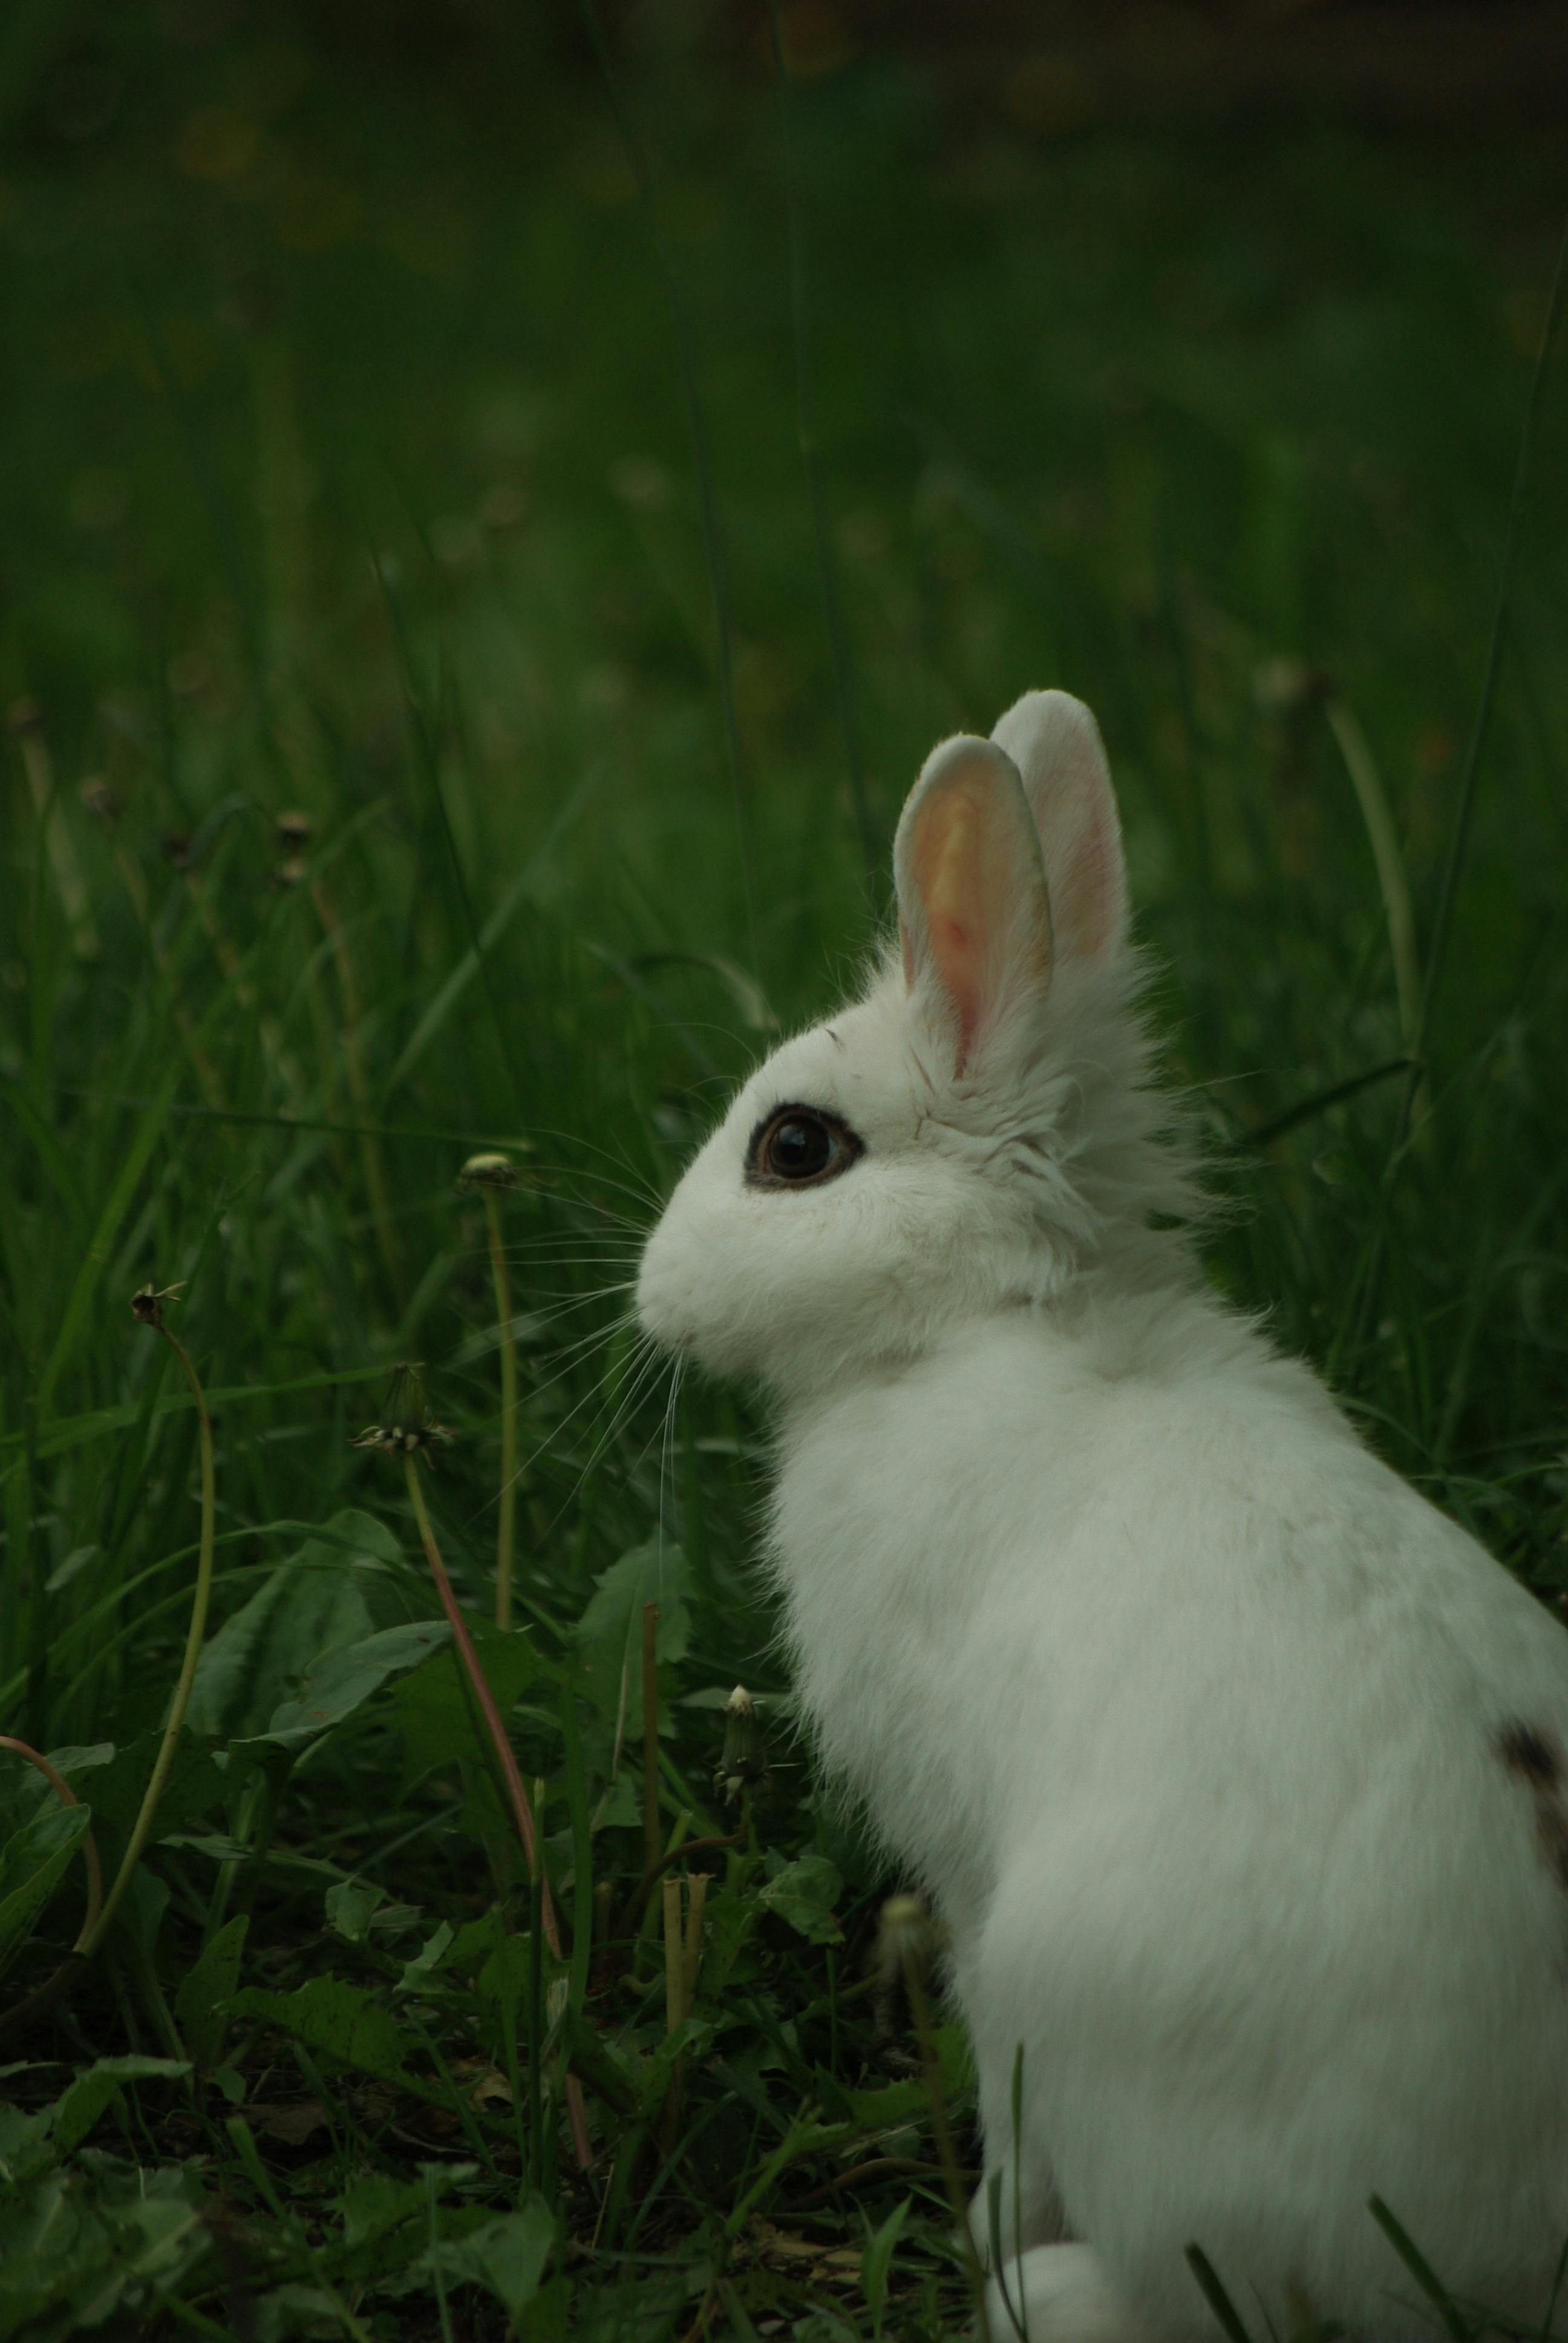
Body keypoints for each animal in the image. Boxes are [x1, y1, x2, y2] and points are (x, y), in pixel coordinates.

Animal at [635, 689, 1568, 2342]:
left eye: (795, 1149)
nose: (649, 1293)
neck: (981, 1321)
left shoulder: (969, 1878)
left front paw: (983, 2224)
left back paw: (1039, 2287)